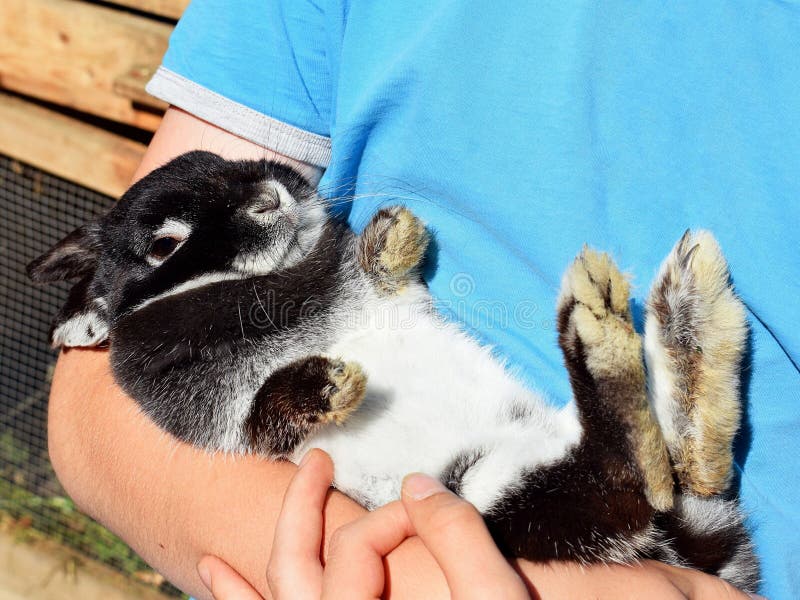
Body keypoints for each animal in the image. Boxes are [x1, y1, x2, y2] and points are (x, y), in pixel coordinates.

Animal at [28, 150, 759, 591]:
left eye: (231, 163)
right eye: (164, 245)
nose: (271, 195)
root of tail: (685, 549)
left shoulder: (393, 302)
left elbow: (385, 276)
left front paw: (394, 232)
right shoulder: (232, 427)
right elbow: (270, 413)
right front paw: (332, 381)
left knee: (678, 468)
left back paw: (675, 307)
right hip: (499, 494)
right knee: (639, 473)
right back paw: (617, 327)